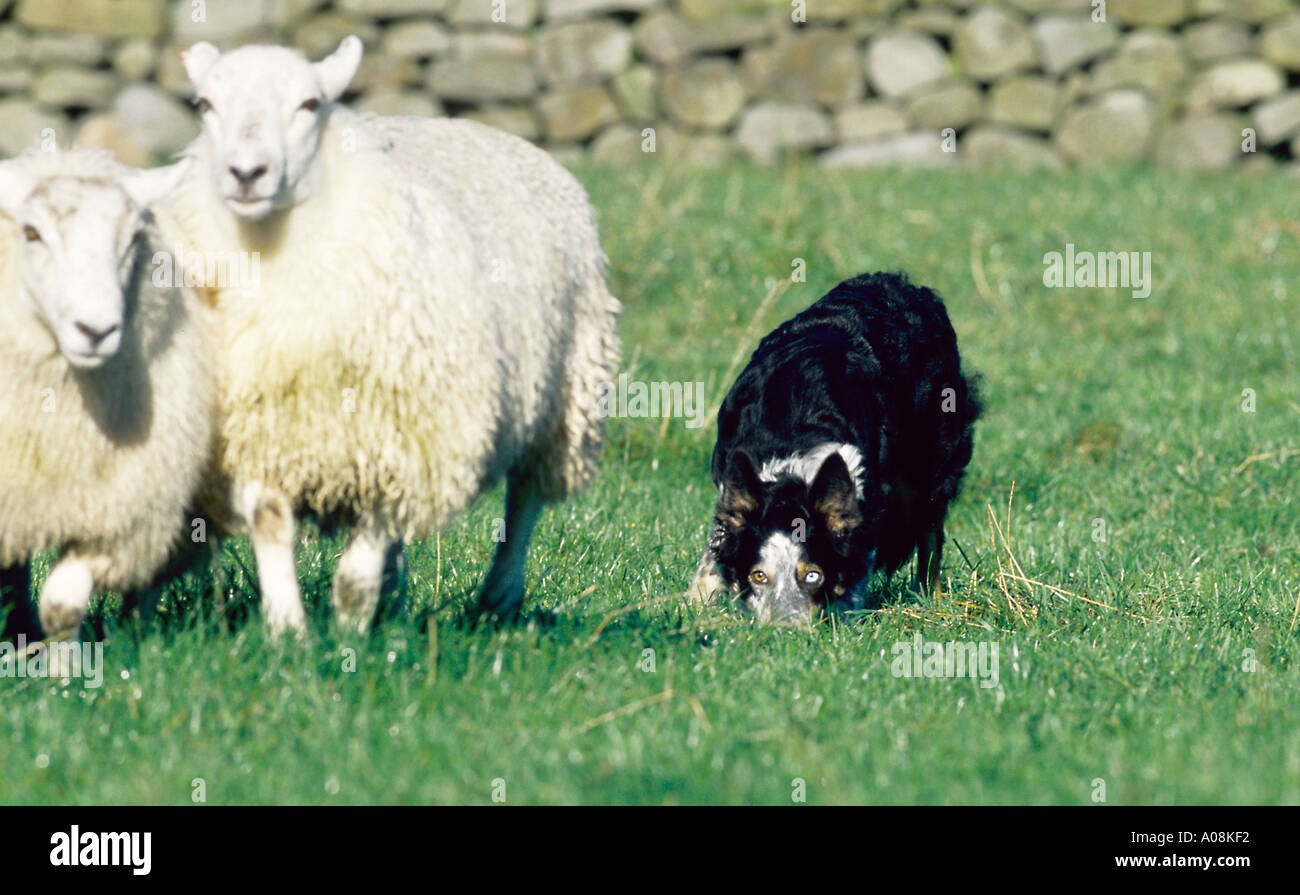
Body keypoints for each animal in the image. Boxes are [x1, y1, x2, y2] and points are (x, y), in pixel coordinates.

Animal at [157, 37, 621, 636]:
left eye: (310, 104)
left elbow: (355, 574)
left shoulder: (400, 441)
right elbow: (270, 522)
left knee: (526, 497)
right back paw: (396, 600)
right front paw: (288, 632)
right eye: (205, 105)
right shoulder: (262, 429)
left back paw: (499, 595)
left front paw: (349, 635)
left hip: (566, 395)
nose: (246, 173)